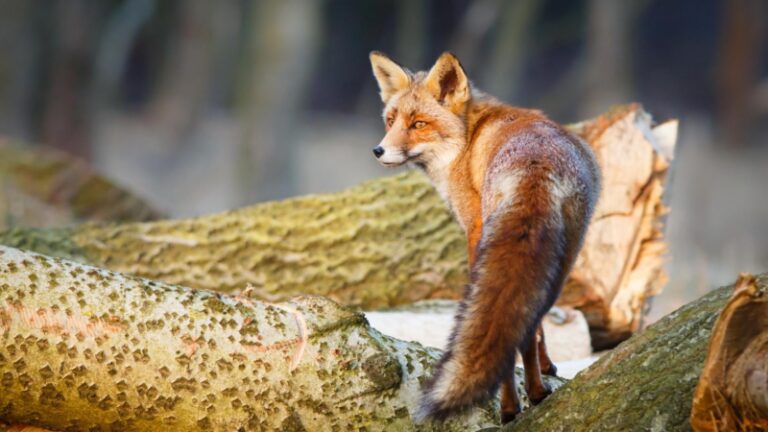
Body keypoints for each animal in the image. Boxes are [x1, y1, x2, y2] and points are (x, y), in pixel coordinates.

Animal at [368, 51, 600, 423]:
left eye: (419, 124)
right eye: (391, 120)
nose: (378, 150)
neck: (468, 137)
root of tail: (535, 168)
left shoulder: (473, 228)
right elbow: (539, 327)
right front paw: (549, 366)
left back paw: (513, 405)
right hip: (566, 258)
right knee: (530, 319)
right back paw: (534, 393)